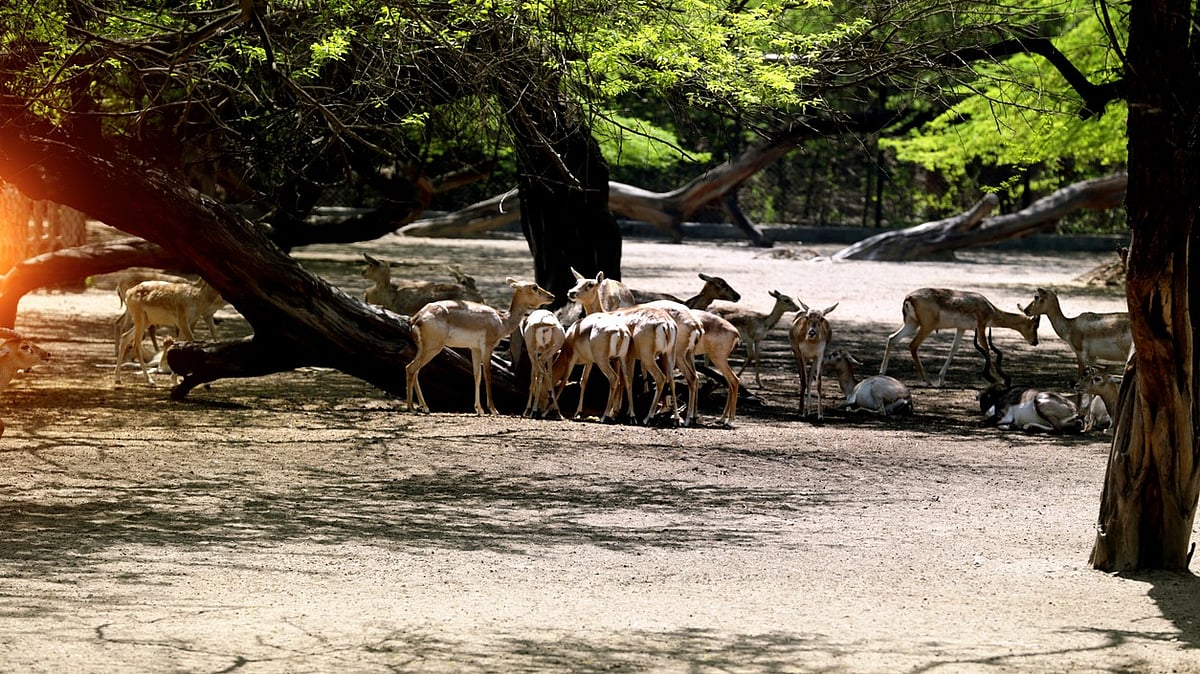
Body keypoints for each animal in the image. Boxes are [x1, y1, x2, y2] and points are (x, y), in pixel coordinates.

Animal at [406, 277, 554, 415]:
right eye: (534, 287)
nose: (551, 296)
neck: (502, 321)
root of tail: (416, 318)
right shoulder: (488, 347)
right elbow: (488, 376)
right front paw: (493, 409)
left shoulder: (475, 349)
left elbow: (477, 375)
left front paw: (479, 409)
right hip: (433, 348)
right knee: (411, 369)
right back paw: (412, 408)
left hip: (422, 348)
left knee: (413, 370)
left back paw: (424, 407)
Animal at [880, 287, 1040, 388]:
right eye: (1035, 325)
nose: (1035, 342)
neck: (988, 307)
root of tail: (909, 297)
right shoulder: (981, 327)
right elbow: (987, 349)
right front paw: (998, 378)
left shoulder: (961, 329)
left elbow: (953, 349)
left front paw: (942, 380)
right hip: (926, 327)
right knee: (912, 345)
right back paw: (927, 381)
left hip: (912, 324)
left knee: (892, 338)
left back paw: (882, 373)